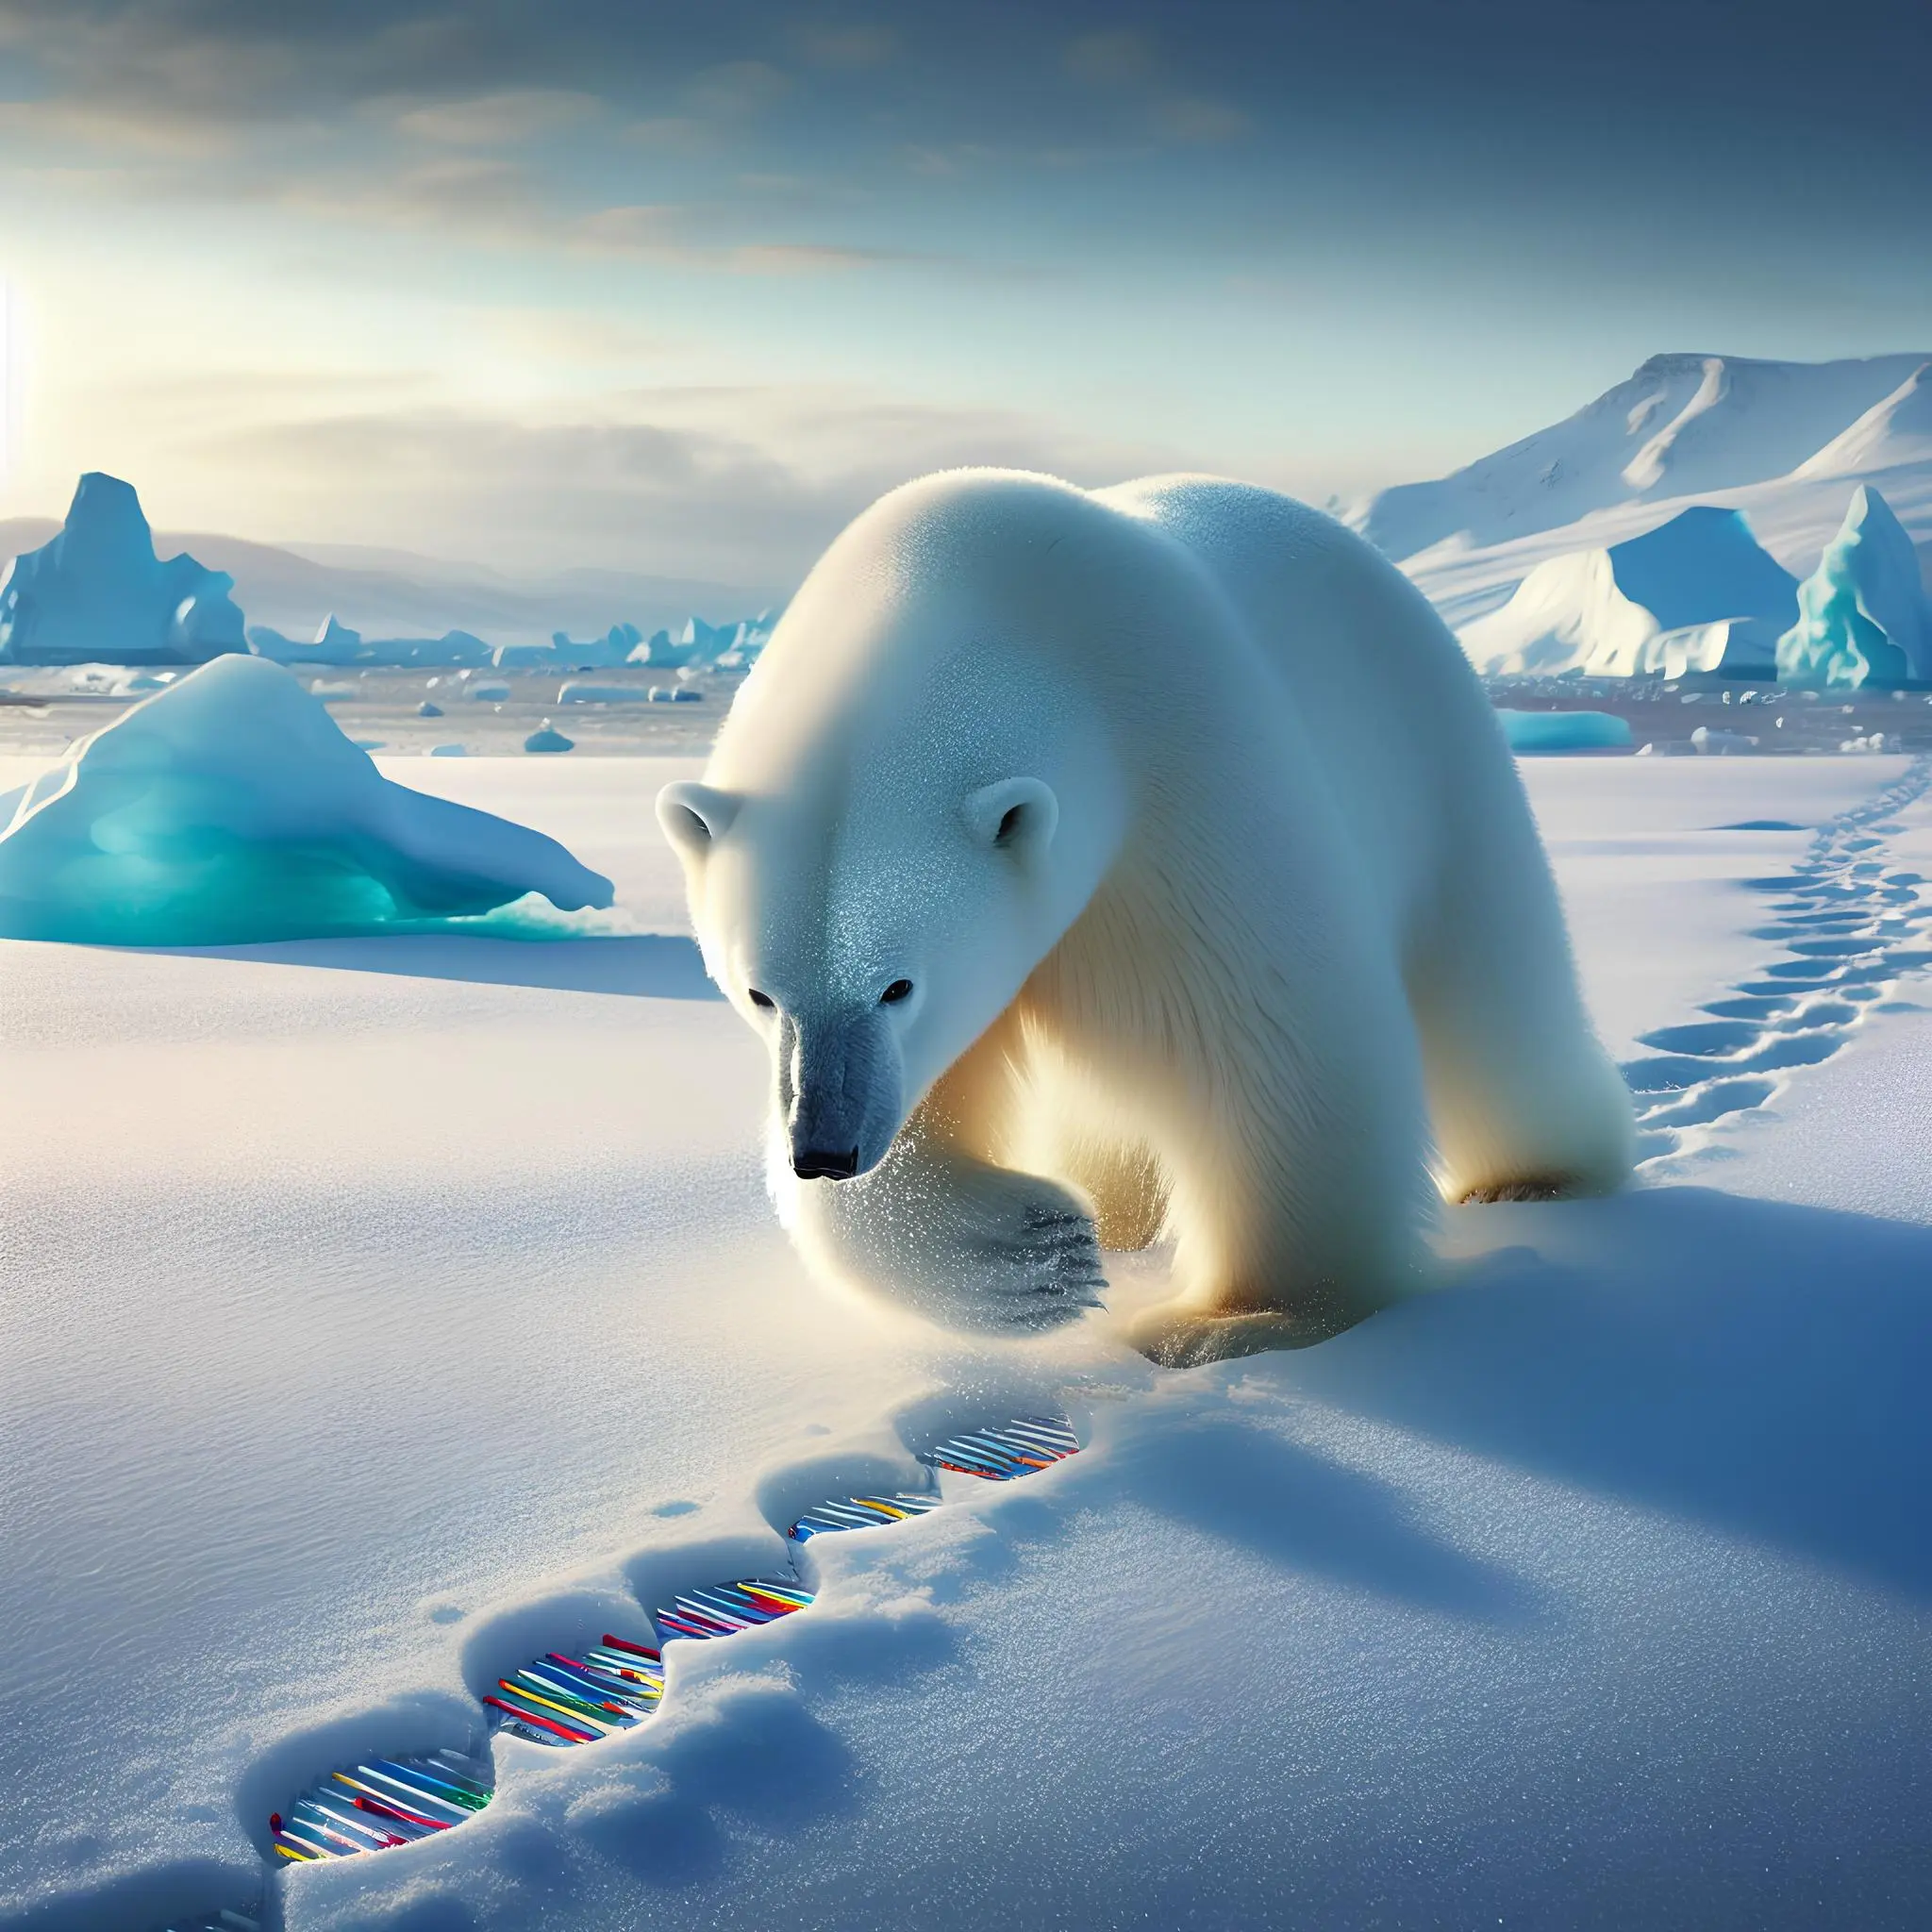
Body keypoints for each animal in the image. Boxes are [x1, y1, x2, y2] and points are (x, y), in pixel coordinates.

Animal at [658, 470, 1634, 1364]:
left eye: (899, 985)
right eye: (760, 992)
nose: (823, 1150)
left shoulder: (1179, 776)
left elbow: (1269, 1042)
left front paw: (1242, 1319)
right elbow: (928, 1116)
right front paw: (1037, 1255)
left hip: (1436, 763)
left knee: (1493, 987)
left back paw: (1537, 1177)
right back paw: (1117, 1214)